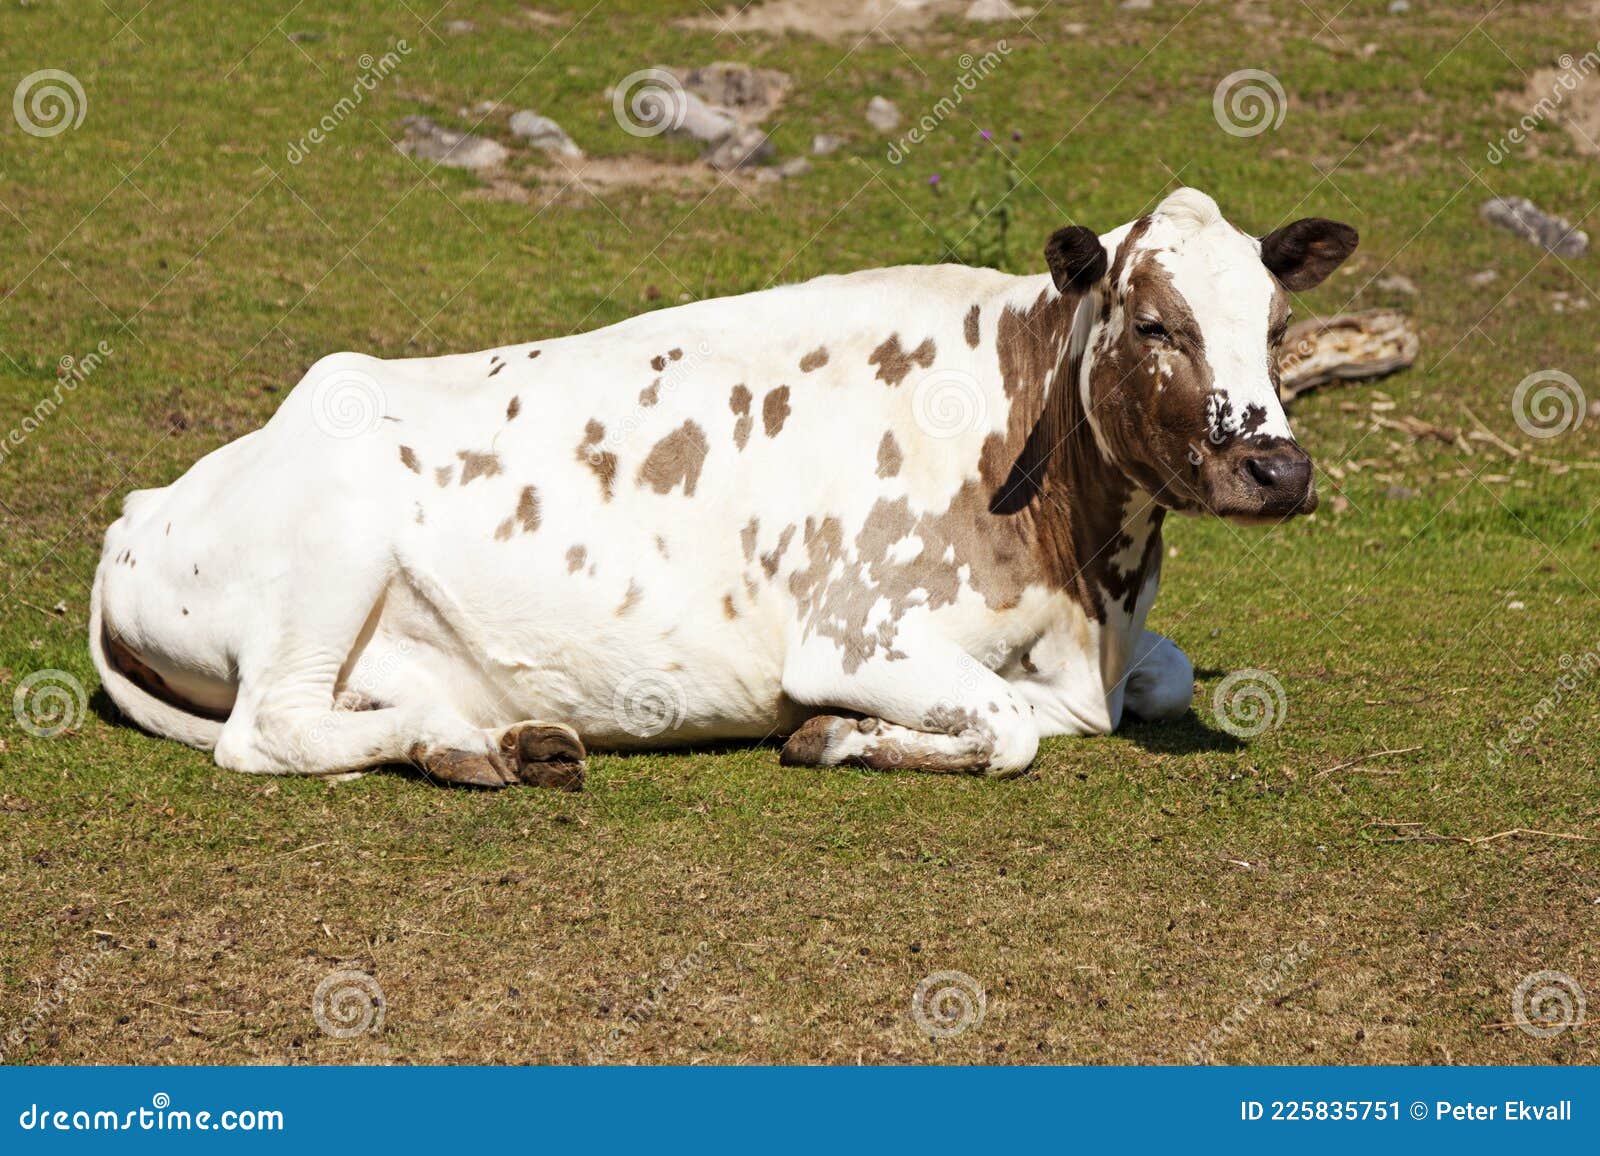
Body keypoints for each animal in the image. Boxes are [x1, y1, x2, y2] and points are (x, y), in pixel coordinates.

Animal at [88, 188, 1357, 790]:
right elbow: (1005, 729)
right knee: (270, 728)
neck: (1089, 585)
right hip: (330, 560)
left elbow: (1151, 684)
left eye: (1277, 325)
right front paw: (839, 737)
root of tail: (137, 512)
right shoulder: (857, 634)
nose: (1278, 468)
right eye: (1154, 324)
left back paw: (488, 744)